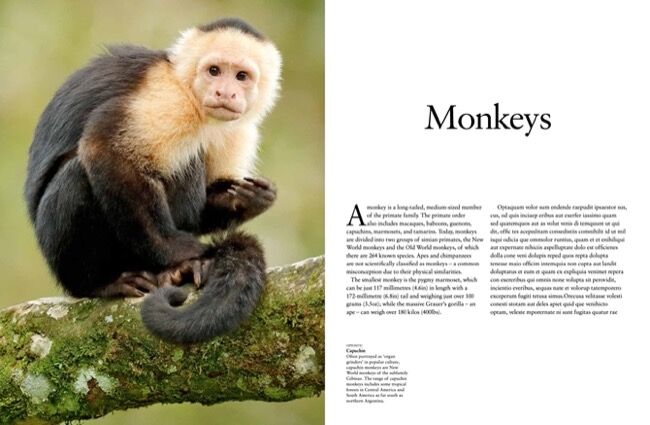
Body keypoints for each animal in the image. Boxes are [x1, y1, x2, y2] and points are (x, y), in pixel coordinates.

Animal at [24, 18, 282, 344]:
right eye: (214, 71)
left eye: (241, 76)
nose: (225, 92)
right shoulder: (168, 99)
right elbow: (106, 149)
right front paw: (183, 252)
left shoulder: (239, 130)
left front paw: (247, 200)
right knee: (79, 175)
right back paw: (101, 283)